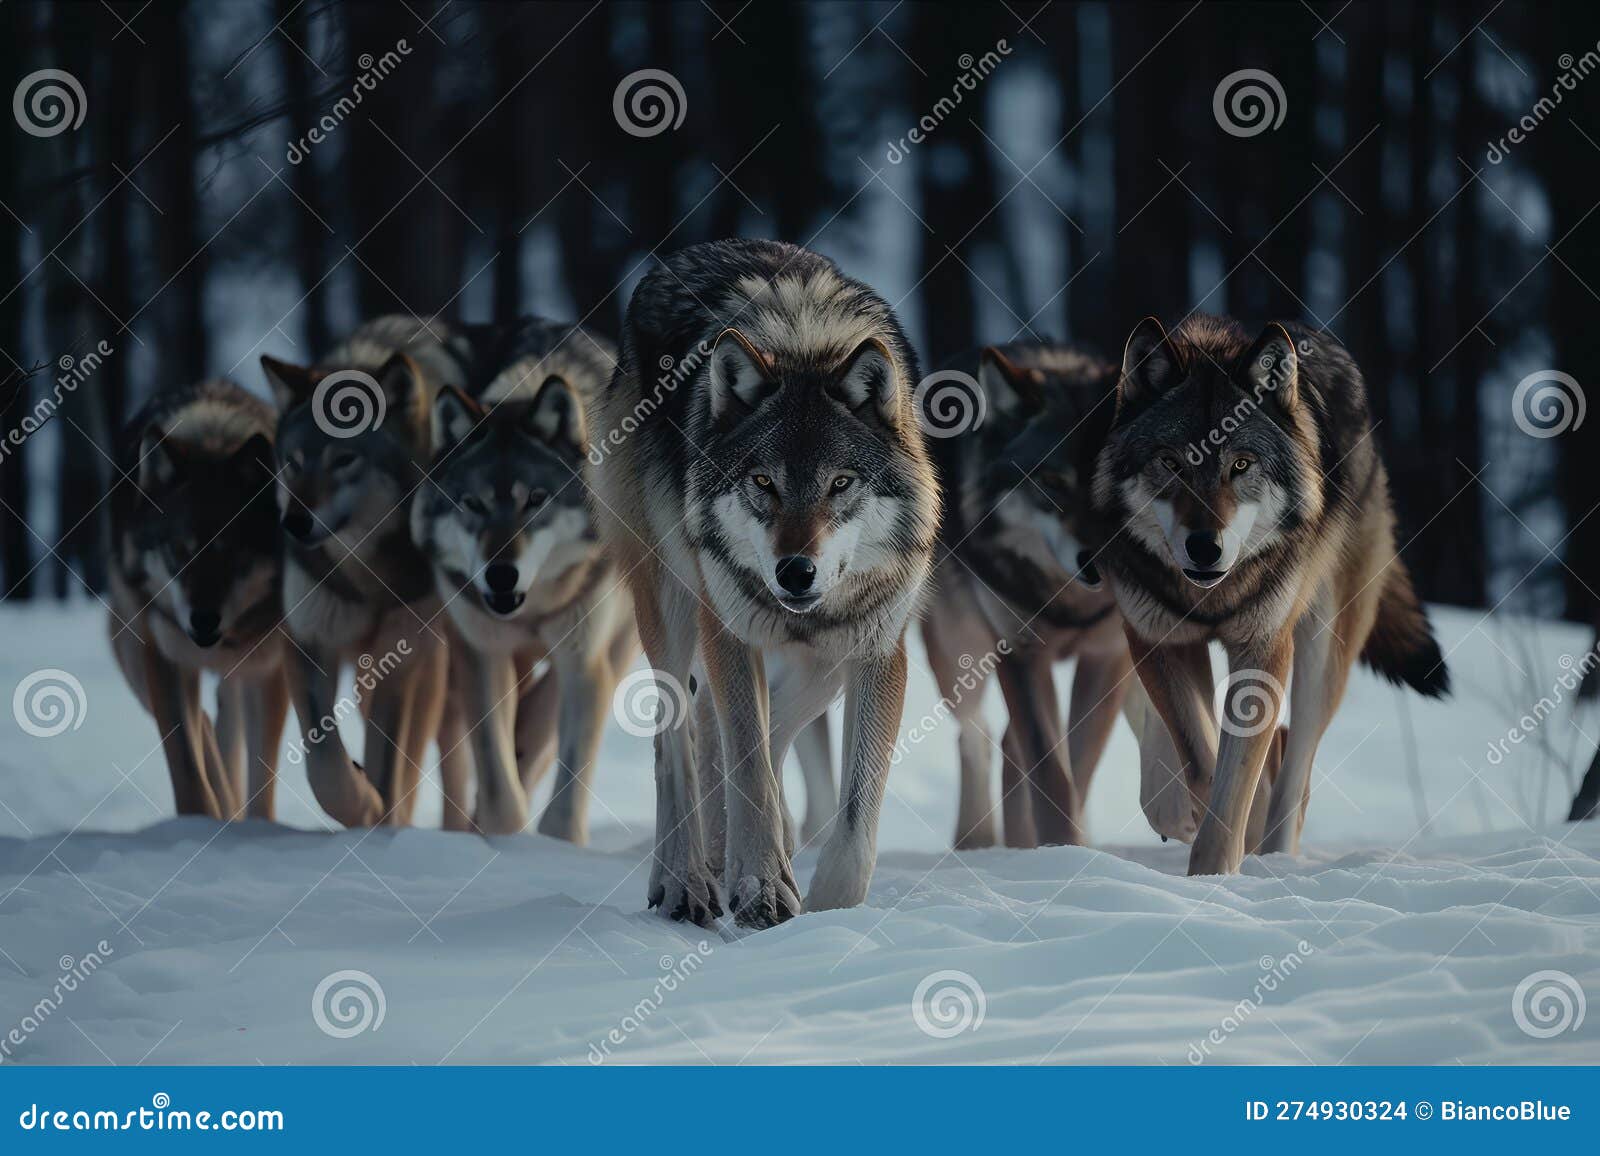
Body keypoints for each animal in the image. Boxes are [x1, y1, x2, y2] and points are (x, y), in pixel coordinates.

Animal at [108, 379, 289, 820]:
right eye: (179, 550)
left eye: (231, 552)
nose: (204, 620)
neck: (211, 440)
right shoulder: (166, 660)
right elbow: (189, 774)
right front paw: (200, 826)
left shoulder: (268, 667)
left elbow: (262, 780)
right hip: (133, 657)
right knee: (206, 722)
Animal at [260, 316, 465, 827]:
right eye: (293, 463)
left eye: (344, 459)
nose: (293, 522)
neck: (364, 573)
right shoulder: (309, 638)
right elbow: (323, 760)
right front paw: (362, 805)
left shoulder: (401, 655)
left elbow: (388, 757)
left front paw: (378, 812)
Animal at [412, 318, 639, 840]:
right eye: (472, 504)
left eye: (535, 499)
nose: (500, 573)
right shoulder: (481, 654)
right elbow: (499, 787)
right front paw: (499, 839)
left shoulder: (585, 659)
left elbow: (564, 801)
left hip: (617, 644)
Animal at [592, 239, 939, 928]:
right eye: (763, 483)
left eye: (840, 483)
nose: (795, 571)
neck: (806, 342)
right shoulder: (726, 628)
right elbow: (748, 766)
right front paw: (761, 890)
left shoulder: (876, 650)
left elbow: (854, 812)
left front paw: (828, 912)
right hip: (674, 602)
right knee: (676, 744)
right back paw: (684, 882)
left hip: (820, 666)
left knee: (736, 727)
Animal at [1091, 315, 1449, 874]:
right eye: (1170, 463)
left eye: (1241, 464)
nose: (1204, 547)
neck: (1215, 597)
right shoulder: (1160, 641)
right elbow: (1205, 766)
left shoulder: (1264, 647)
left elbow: (1235, 784)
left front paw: (1216, 871)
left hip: (1321, 652)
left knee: (1296, 780)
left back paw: (1276, 855)